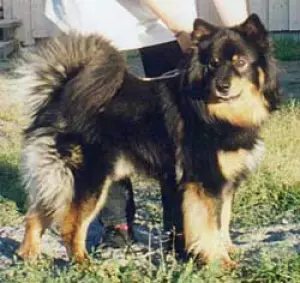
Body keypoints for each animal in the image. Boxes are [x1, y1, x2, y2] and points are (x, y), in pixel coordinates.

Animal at [16, 14, 278, 268]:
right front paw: (219, 261)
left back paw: (28, 256)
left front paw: (226, 248)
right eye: (213, 63)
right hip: (88, 179)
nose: (222, 86)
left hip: (61, 178)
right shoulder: (205, 180)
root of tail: (59, 94)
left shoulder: (225, 182)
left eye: (241, 62)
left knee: (36, 214)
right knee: (70, 227)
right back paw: (83, 264)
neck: (216, 113)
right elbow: (209, 226)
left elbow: (223, 219)